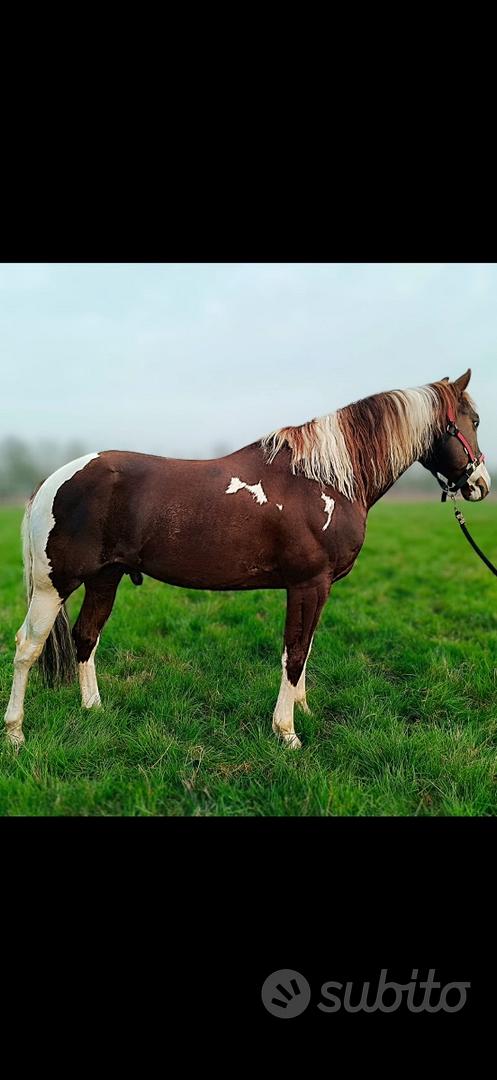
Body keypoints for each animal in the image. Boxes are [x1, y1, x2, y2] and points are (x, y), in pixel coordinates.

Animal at [3, 368, 490, 750]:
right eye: (476, 420)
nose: (481, 484)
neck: (325, 478)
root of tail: (53, 479)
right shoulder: (308, 583)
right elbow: (295, 653)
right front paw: (287, 732)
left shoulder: (317, 588)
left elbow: (305, 649)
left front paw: (302, 710)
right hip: (53, 585)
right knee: (27, 647)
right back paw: (16, 733)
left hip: (106, 578)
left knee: (86, 637)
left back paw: (94, 709)